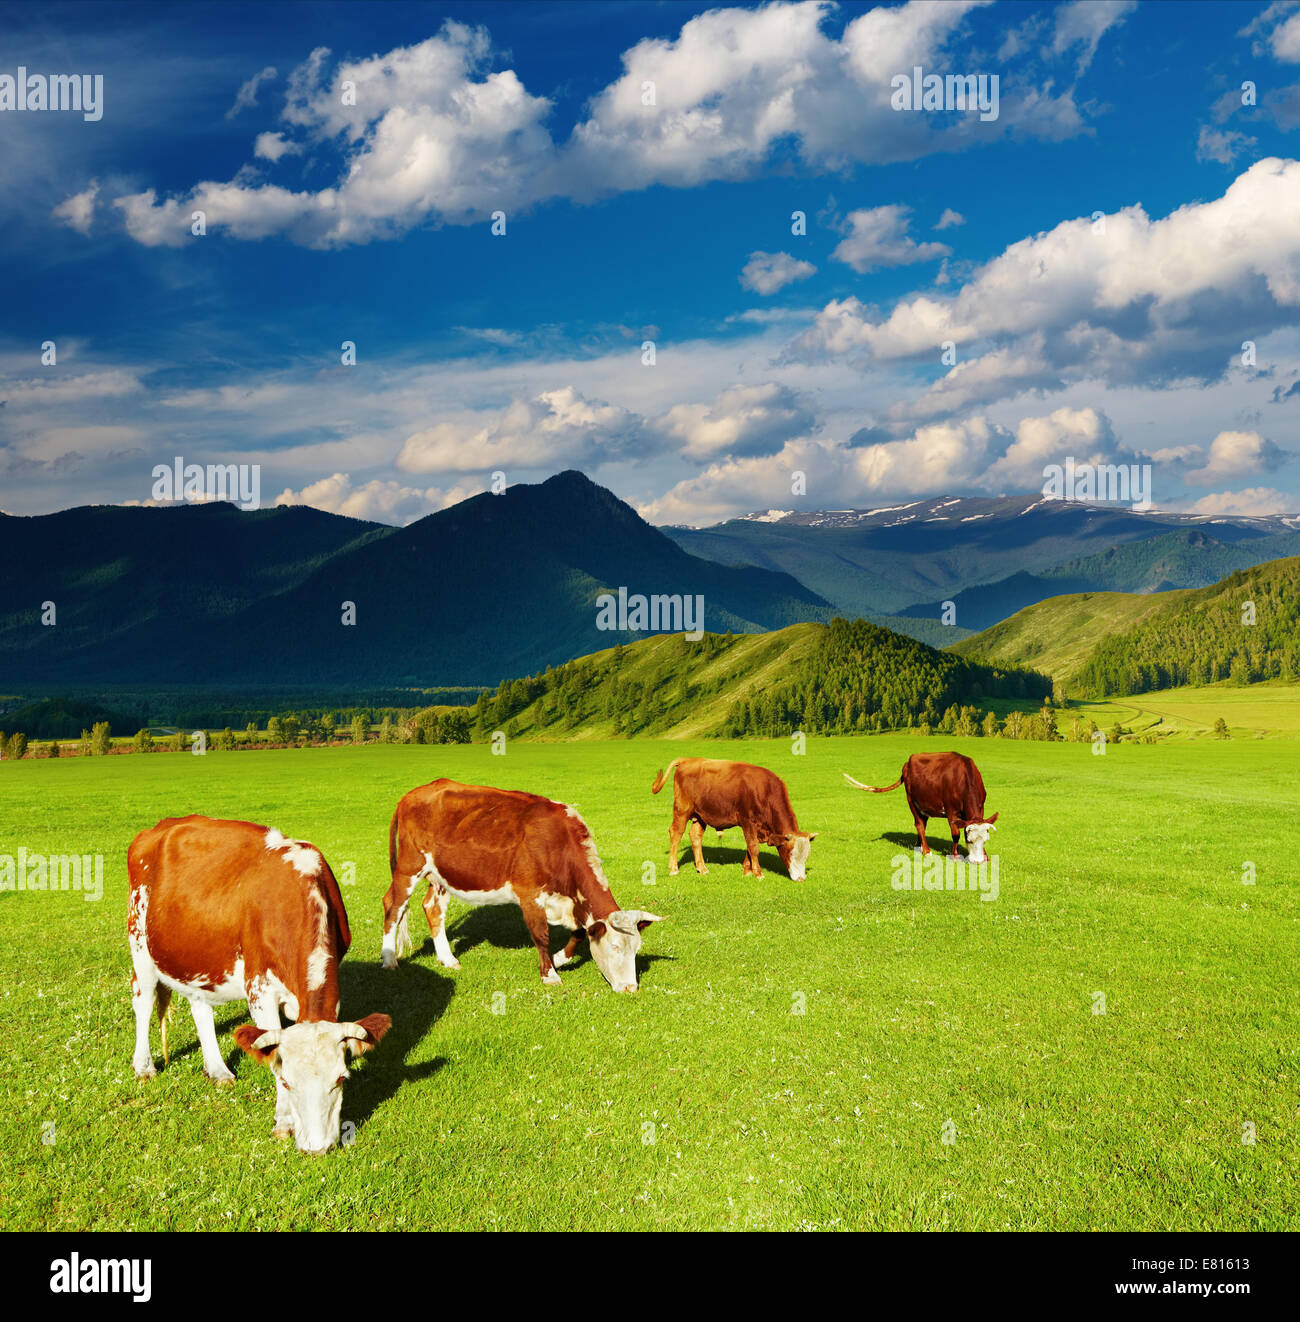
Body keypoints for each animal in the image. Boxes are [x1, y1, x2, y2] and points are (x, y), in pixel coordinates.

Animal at [127, 815, 391, 1154]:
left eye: (341, 1079)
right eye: (287, 1081)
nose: (317, 1147)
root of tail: (163, 825)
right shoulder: (259, 990)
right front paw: (283, 1123)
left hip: (197, 954)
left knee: (200, 1007)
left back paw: (218, 1070)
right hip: (140, 941)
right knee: (143, 999)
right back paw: (144, 1066)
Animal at [381, 780, 663, 993]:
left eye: (636, 948)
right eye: (615, 947)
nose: (631, 988)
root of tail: (413, 794)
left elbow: (580, 933)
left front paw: (559, 959)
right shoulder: (530, 894)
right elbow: (541, 934)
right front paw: (550, 974)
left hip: (441, 875)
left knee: (432, 908)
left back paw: (448, 959)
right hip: (408, 868)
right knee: (393, 907)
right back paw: (389, 960)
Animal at [651, 758, 817, 880]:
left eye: (807, 856)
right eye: (791, 853)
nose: (801, 878)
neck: (765, 791)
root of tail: (688, 760)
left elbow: (750, 847)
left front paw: (747, 870)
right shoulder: (747, 821)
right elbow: (753, 847)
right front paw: (758, 873)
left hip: (700, 815)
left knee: (695, 837)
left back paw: (702, 868)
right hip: (682, 811)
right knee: (676, 833)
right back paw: (674, 869)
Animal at [843, 752, 999, 861]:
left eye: (985, 840)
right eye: (969, 840)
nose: (978, 861)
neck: (963, 779)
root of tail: (908, 762)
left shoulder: (981, 807)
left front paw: (986, 856)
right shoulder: (951, 811)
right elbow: (956, 834)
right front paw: (955, 855)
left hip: (923, 805)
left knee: (922, 824)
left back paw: (919, 846)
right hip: (911, 800)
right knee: (919, 824)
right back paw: (926, 851)